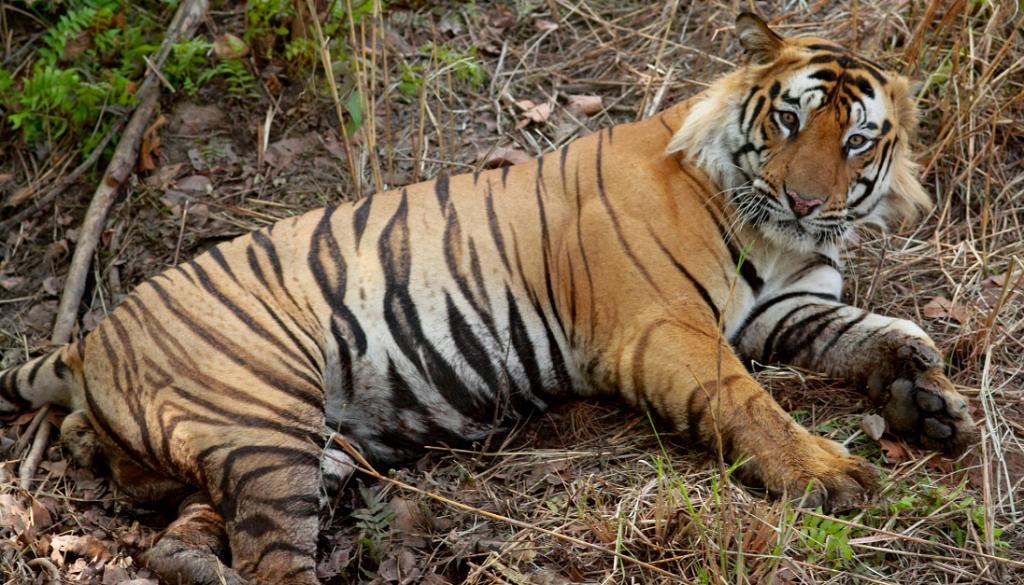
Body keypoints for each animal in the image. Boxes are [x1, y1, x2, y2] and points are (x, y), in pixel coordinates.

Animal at [0, 12, 978, 585]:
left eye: (856, 141)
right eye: (788, 120)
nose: (809, 201)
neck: (777, 236)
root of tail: (89, 335)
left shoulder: (784, 306)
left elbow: (866, 331)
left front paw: (927, 398)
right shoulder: (665, 326)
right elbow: (751, 401)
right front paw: (831, 471)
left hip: (300, 447)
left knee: (181, 516)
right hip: (264, 418)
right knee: (272, 559)